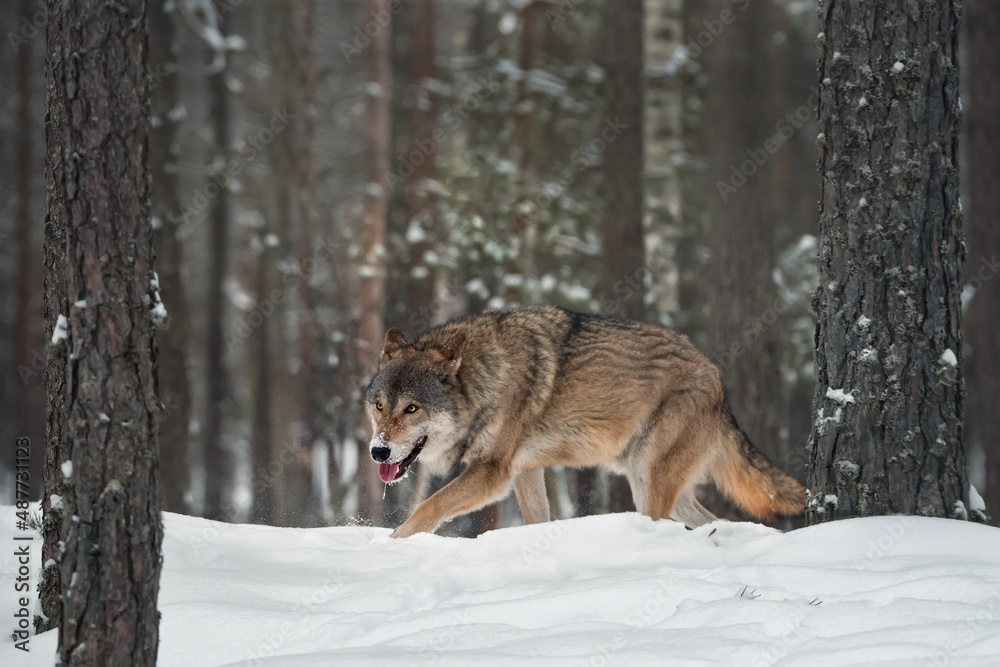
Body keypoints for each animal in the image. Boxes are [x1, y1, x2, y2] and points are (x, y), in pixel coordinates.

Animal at [364, 306, 804, 538]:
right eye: (380, 406)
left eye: (412, 409)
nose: (378, 451)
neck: (486, 378)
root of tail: (718, 380)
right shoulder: (524, 471)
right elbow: (536, 520)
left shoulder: (493, 472)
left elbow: (427, 507)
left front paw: (393, 545)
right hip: (650, 480)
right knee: (715, 521)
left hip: (648, 478)